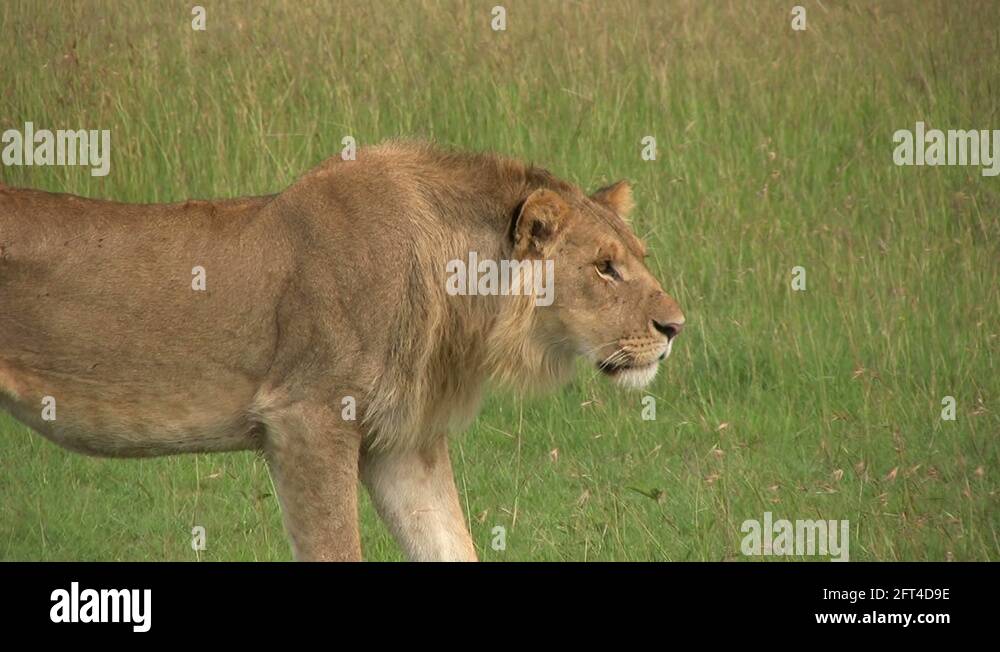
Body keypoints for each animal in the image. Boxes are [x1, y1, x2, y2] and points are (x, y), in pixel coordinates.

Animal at [0, 141, 684, 561]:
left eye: (639, 257)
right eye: (604, 267)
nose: (675, 326)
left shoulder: (402, 445)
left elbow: (450, 542)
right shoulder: (306, 420)